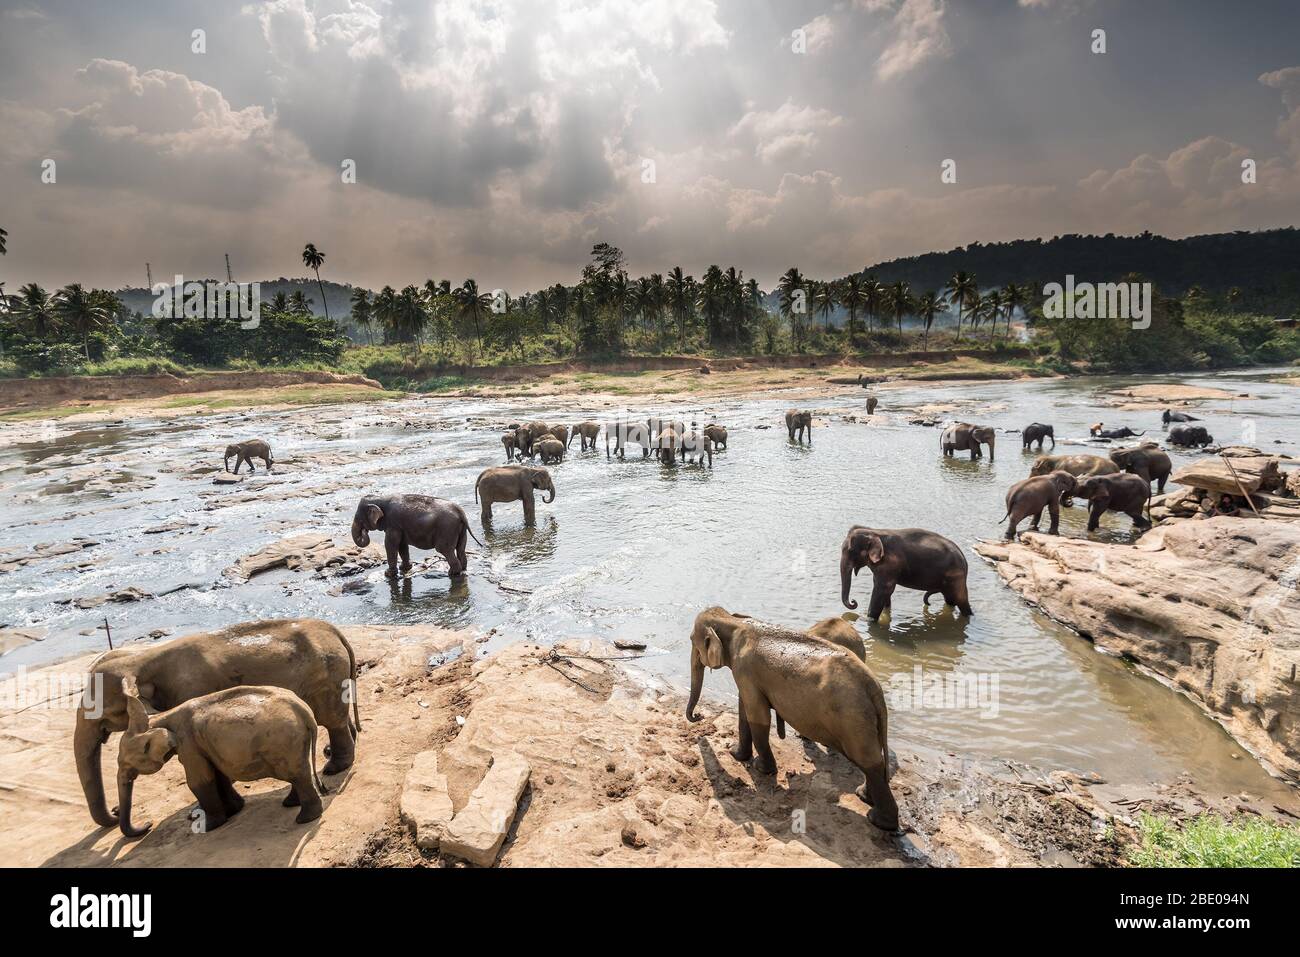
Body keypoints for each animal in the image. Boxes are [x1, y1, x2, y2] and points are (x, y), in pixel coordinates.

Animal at [115, 680, 326, 838]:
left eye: (125, 763)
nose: (148, 823)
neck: (159, 717)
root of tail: (304, 710)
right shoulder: (204, 745)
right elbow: (218, 774)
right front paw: (234, 811)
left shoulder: (188, 744)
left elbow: (198, 781)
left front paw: (209, 827)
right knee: (297, 774)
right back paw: (291, 805)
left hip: (283, 742)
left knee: (297, 774)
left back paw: (304, 819)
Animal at [350, 494, 481, 578]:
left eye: (358, 519)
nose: (364, 531)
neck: (381, 498)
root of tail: (460, 512)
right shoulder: (399, 527)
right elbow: (402, 545)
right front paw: (405, 568)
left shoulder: (393, 524)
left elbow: (390, 545)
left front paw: (388, 574)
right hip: (461, 530)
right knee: (460, 549)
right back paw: (463, 570)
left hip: (447, 530)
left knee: (445, 550)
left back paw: (453, 574)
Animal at [684, 606, 898, 830]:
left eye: (691, 640)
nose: (697, 716)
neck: (734, 622)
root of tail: (874, 687)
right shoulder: (746, 675)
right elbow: (746, 709)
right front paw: (736, 754)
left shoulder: (744, 668)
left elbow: (757, 714)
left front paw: (761, 768)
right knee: (872, 761)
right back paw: (864, 797)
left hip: (852, 717)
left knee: (868, 761)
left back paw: (877, 820)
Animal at [840, 526, 973, 620]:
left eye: (850, 550)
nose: (853, 602)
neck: (873, 531)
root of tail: (965, 559)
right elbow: (884, 591)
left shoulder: (889, 565)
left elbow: (883, 590)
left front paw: (869, 620)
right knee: (950, 600)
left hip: (956, 578)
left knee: (961, 600)